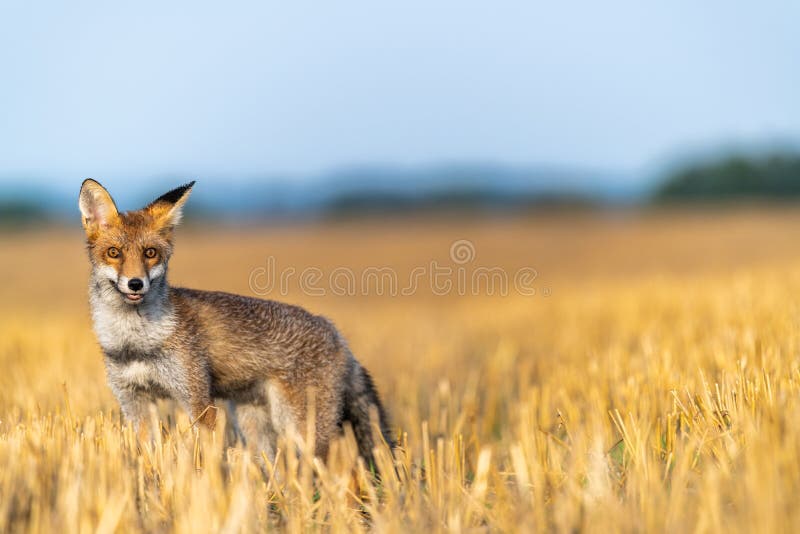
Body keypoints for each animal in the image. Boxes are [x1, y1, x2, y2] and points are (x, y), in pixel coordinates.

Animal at [78, 179, 393, 466]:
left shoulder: (198, 401)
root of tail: (336, 333)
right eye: (114, 253)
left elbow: (203, 455)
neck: (135, 342)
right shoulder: (134, 401)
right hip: (253, 426)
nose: (135, 283)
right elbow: (148, 453)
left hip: (301, 429)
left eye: (150, 253)